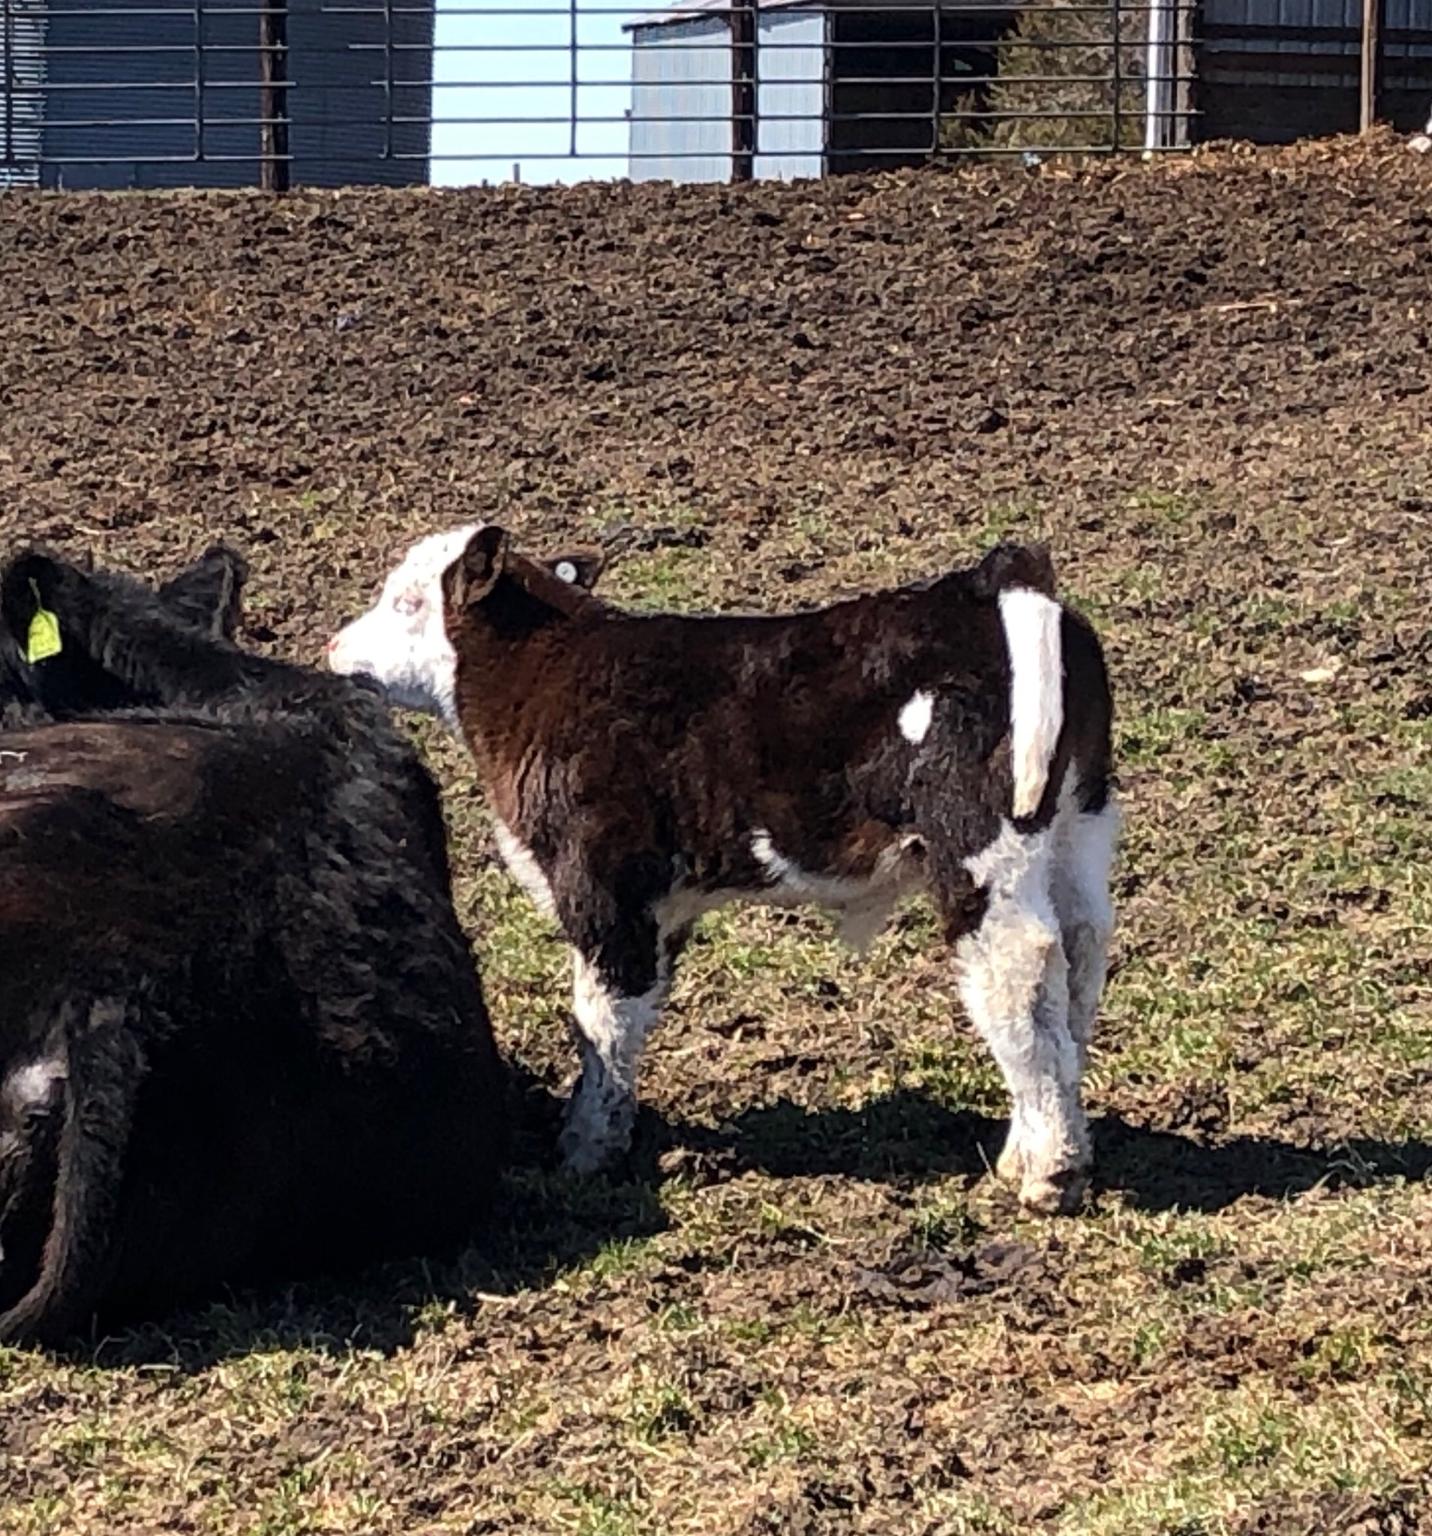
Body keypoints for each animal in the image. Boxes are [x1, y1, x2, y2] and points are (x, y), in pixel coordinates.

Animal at [328, 526, 1117, 1214]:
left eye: (406, 601)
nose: (335, 646)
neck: (546, 679)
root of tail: (988, 583)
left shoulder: (602, 888)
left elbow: (600, 1021)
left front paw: (583, 1153)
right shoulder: (660, 906)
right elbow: (634, 1013)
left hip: (981, 853)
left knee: (1018, 975)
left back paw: (1048, 1172)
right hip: (1079, 827)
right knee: (1077, 962)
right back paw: (1040, 1148)